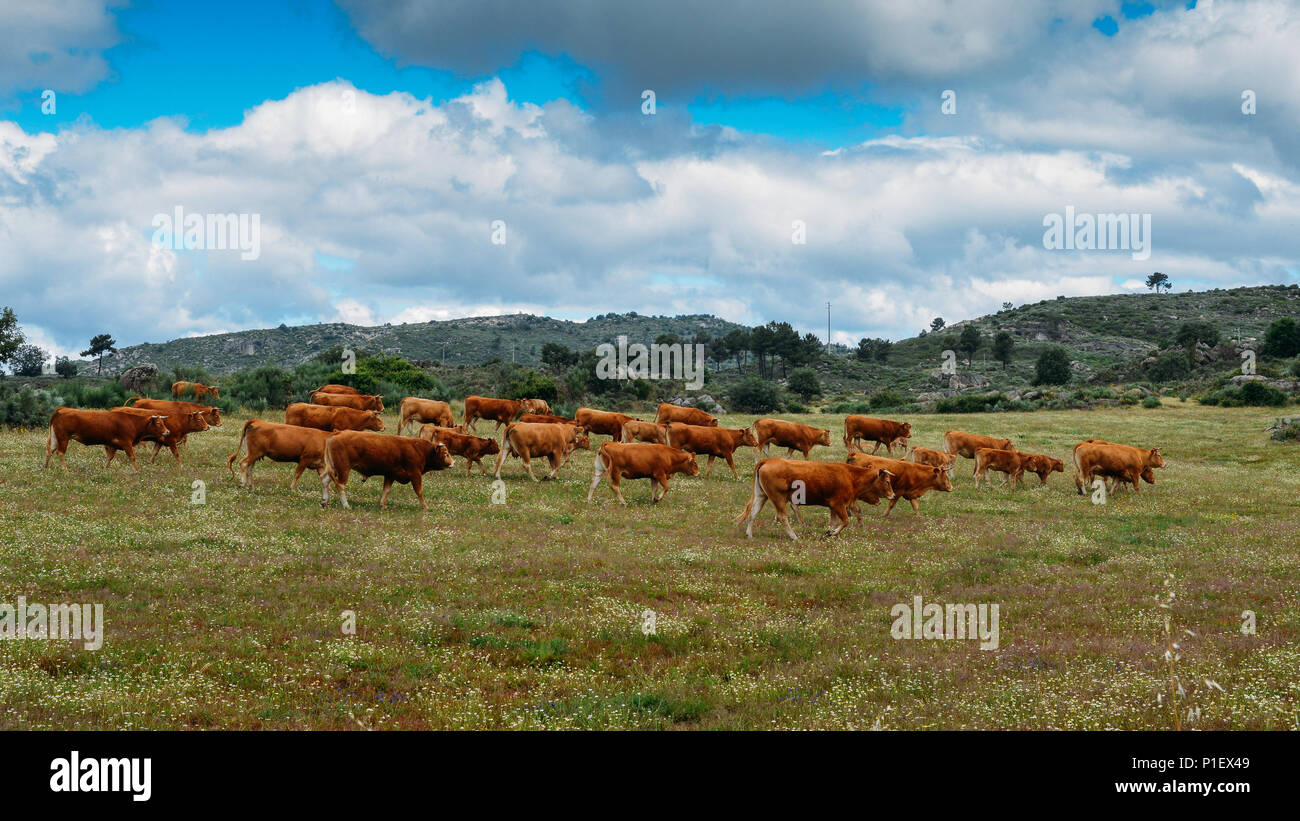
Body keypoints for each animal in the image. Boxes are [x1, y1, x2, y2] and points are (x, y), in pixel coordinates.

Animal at [320, 431, 454, 510]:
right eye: (445, 453)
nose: (453, 462)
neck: (420, 449)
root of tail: (338, 433)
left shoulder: (390, 474)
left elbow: (386, 490)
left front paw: (382, 505)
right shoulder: (415, 474)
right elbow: (419, 491)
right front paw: (425, 506)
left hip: (334, 468)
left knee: (325, 480)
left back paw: (324, 501)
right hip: (343, 469)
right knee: (340, 485)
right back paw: (346, 505)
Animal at [737, 458, 895, 540]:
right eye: (887, 481)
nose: (893, 495)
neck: (851, 476)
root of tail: (768, 460)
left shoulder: (833, 507)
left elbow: (834, 522)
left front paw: (832, 533)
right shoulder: (838, 504)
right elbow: (845, 521)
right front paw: (833, 533)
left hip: (761, 495)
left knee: (753, 513)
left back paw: (749, 534)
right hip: (778, 498)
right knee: (782, 517)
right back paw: (793, 536)